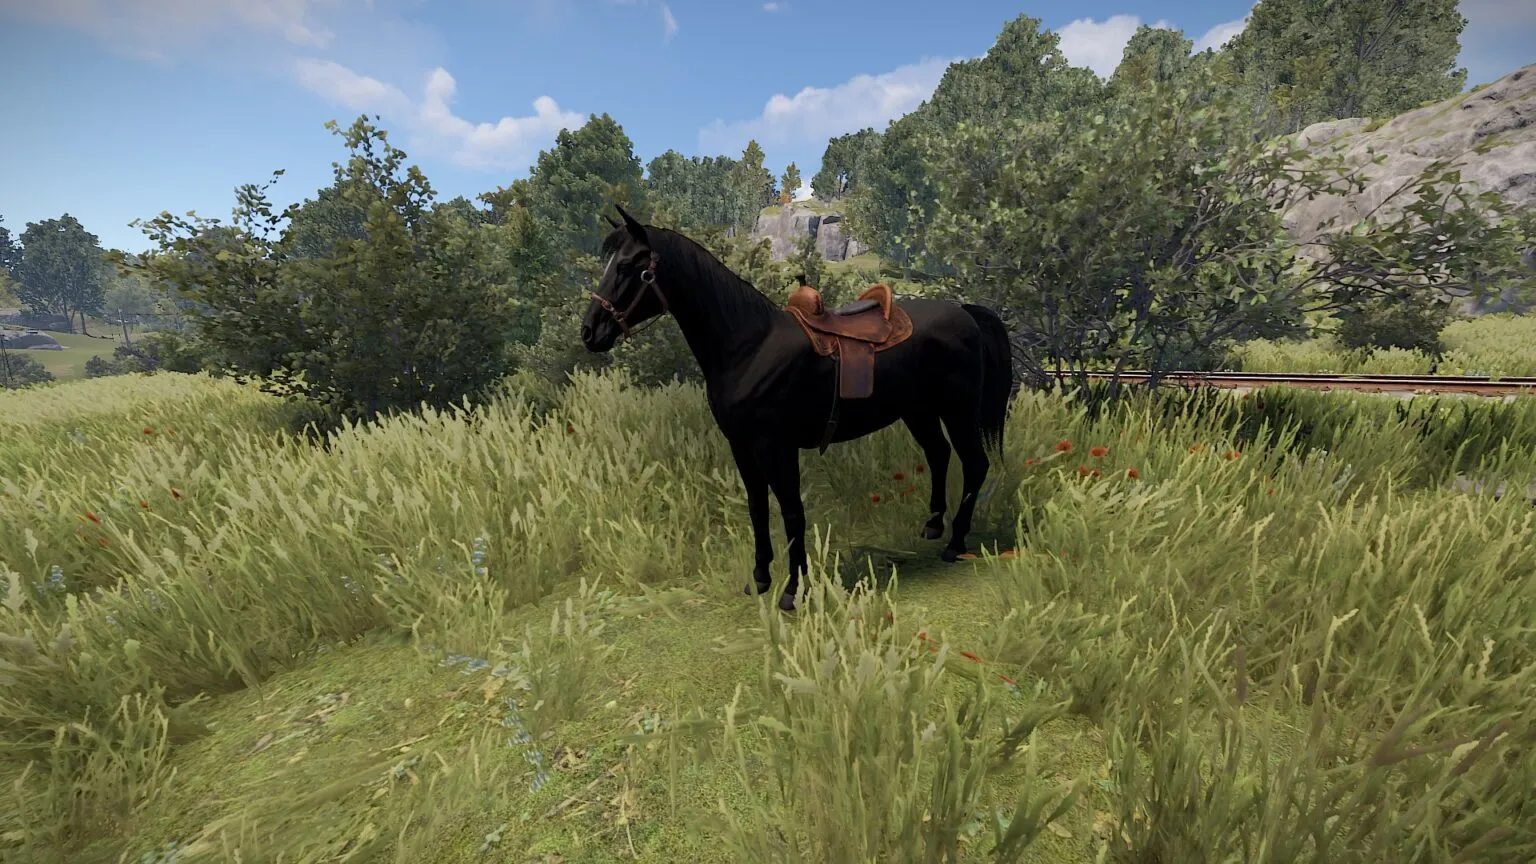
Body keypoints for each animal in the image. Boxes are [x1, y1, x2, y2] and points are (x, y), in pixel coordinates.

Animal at [580, 206, 1013, 612]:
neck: (749, 347)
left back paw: (955, 543)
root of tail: (964, 311)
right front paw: (759, 578)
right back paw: (933, 526)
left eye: (627, 266)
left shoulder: (777, 447)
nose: (589, 333)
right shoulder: (741, 446)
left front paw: (793, 590)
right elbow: (757, 507)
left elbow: (791, 511)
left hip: (957, 411)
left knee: (974, 463)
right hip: (917, 411)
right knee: (939, 454)